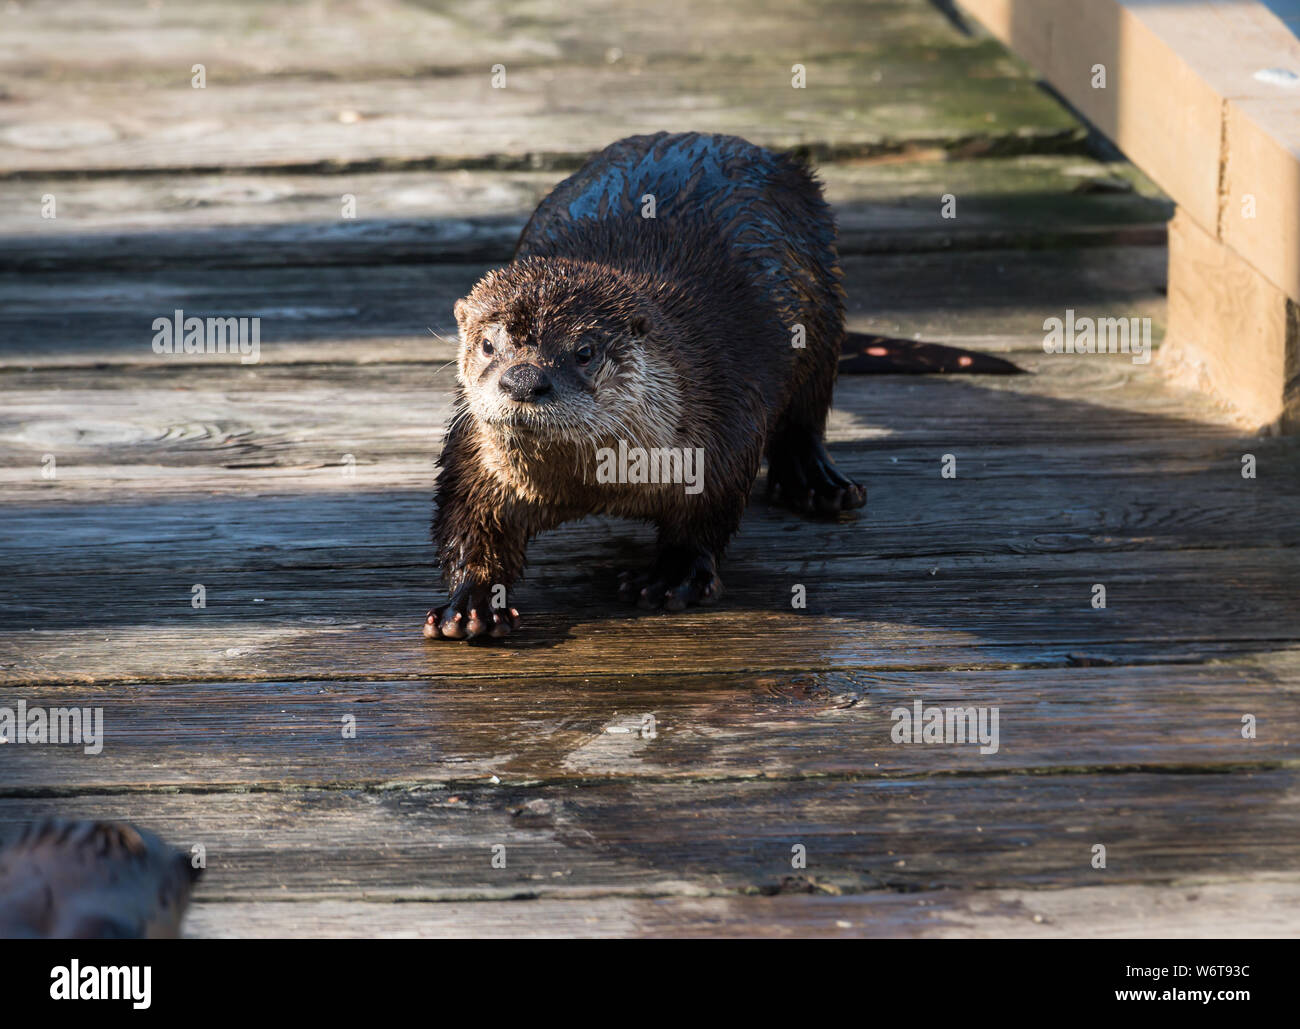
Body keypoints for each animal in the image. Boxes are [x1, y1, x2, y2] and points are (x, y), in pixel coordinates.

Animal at [424, 131, 1010, 640]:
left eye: (584, 351)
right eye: (488, 345)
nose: (523, 379)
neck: (592, 485)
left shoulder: (727, 424)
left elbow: (707, 514)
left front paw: (672, 577)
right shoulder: (473, 455)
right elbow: (469, 521)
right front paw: (472, 603)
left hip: (824, 308)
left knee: (807, 411)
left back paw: (818, 483)